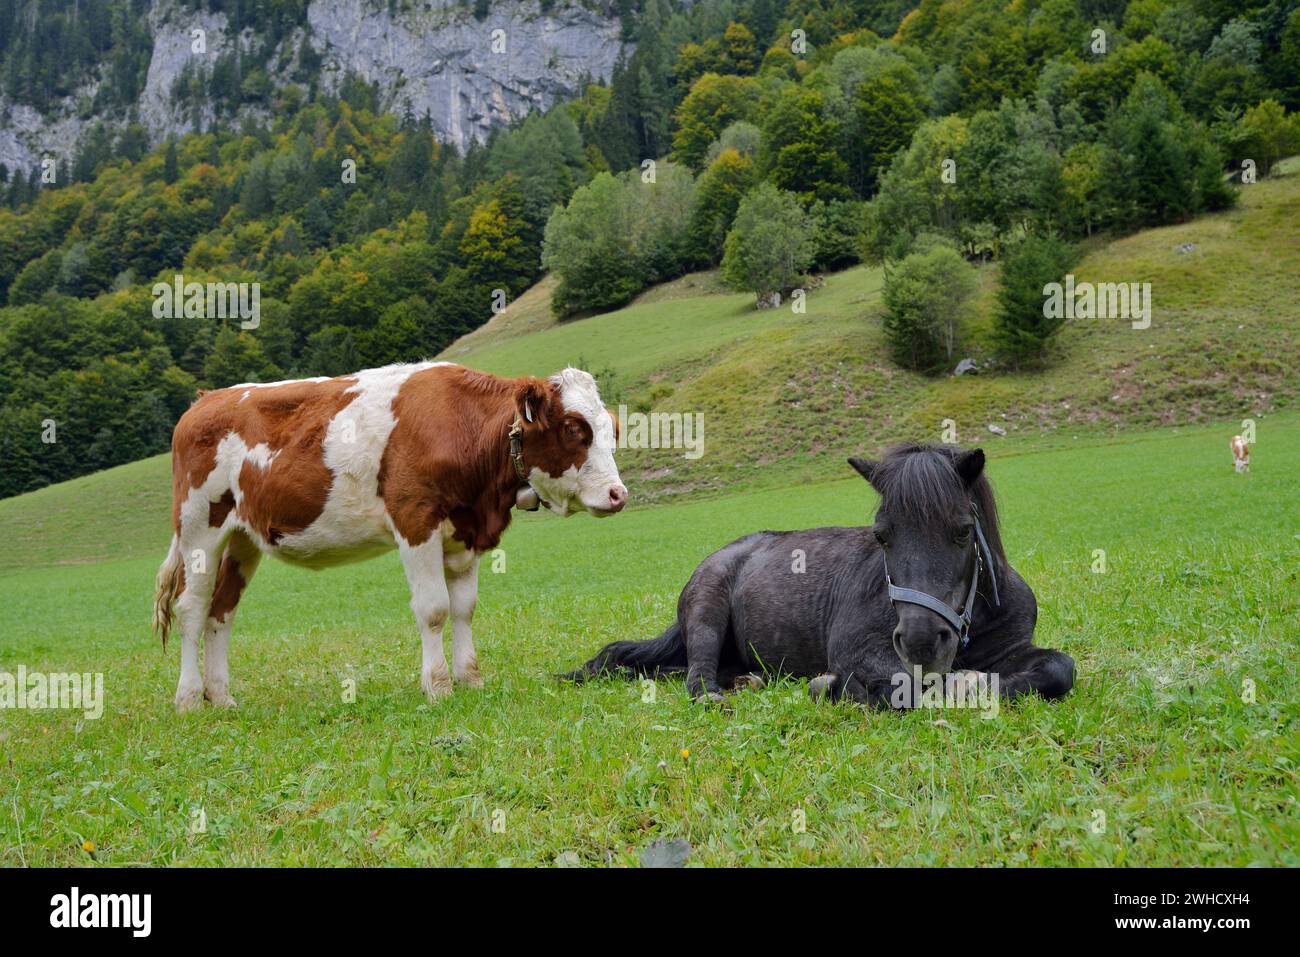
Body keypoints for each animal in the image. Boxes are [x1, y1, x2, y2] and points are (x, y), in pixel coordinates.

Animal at [153, 362, 627, 712]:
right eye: (573, 427)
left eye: (611, 429)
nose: (618, 494)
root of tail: (205, 400)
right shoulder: (415, 522)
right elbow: (434, 609)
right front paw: (438, 687)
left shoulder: (466, 533)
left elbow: (464, 609)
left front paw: (470, 678)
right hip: (199, 526)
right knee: (192, 608)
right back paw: (189, 699)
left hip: (243, 539)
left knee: (221, 612)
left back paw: (221, 697)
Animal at [565, 444, 1075, 708]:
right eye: (882, 535)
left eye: (964, 530)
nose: (921, 642)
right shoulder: (858, 650)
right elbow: (906, 686)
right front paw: (830, 686)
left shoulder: (1011, 649)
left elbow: (1059, 668)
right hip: (708, 610)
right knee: (696, 674)